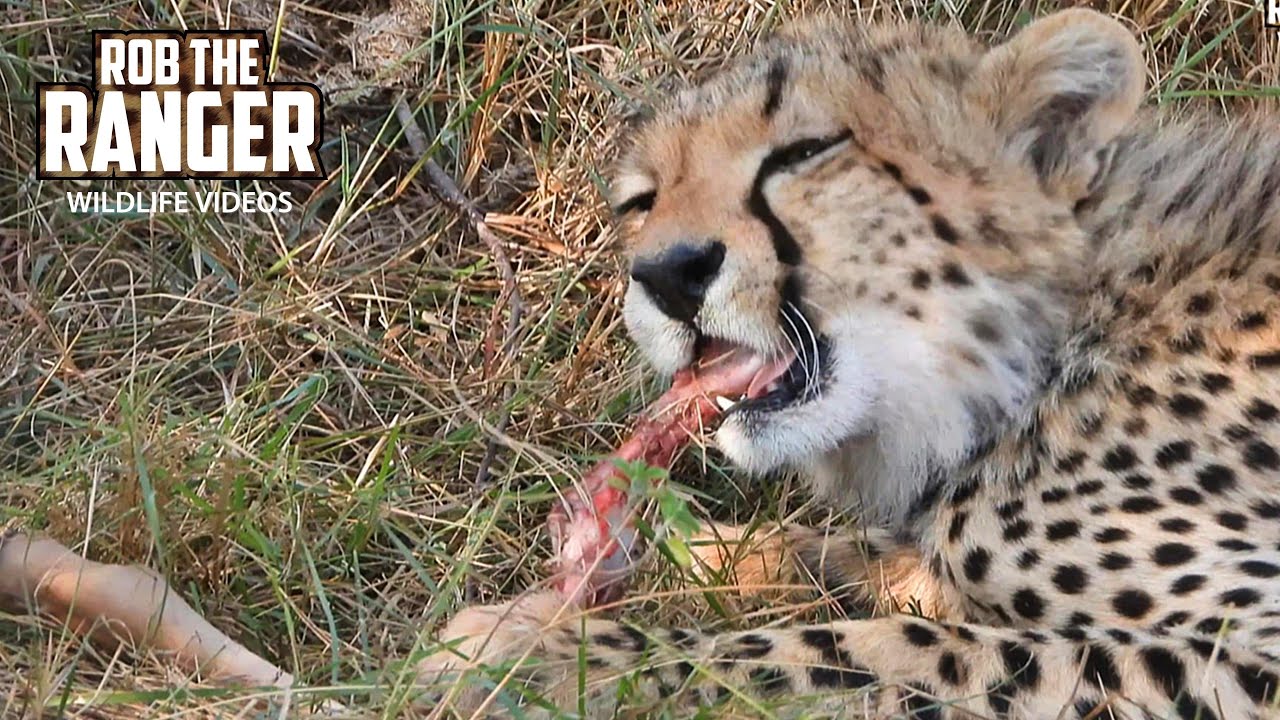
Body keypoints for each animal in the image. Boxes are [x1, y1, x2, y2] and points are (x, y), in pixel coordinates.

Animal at [420, 9, 1280, 718]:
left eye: (805, 153)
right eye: (643, 200)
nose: (669, 274)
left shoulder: (1253, 656)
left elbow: (885, 649)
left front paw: (550, 663)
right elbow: (885, 572)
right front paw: (705, 552)